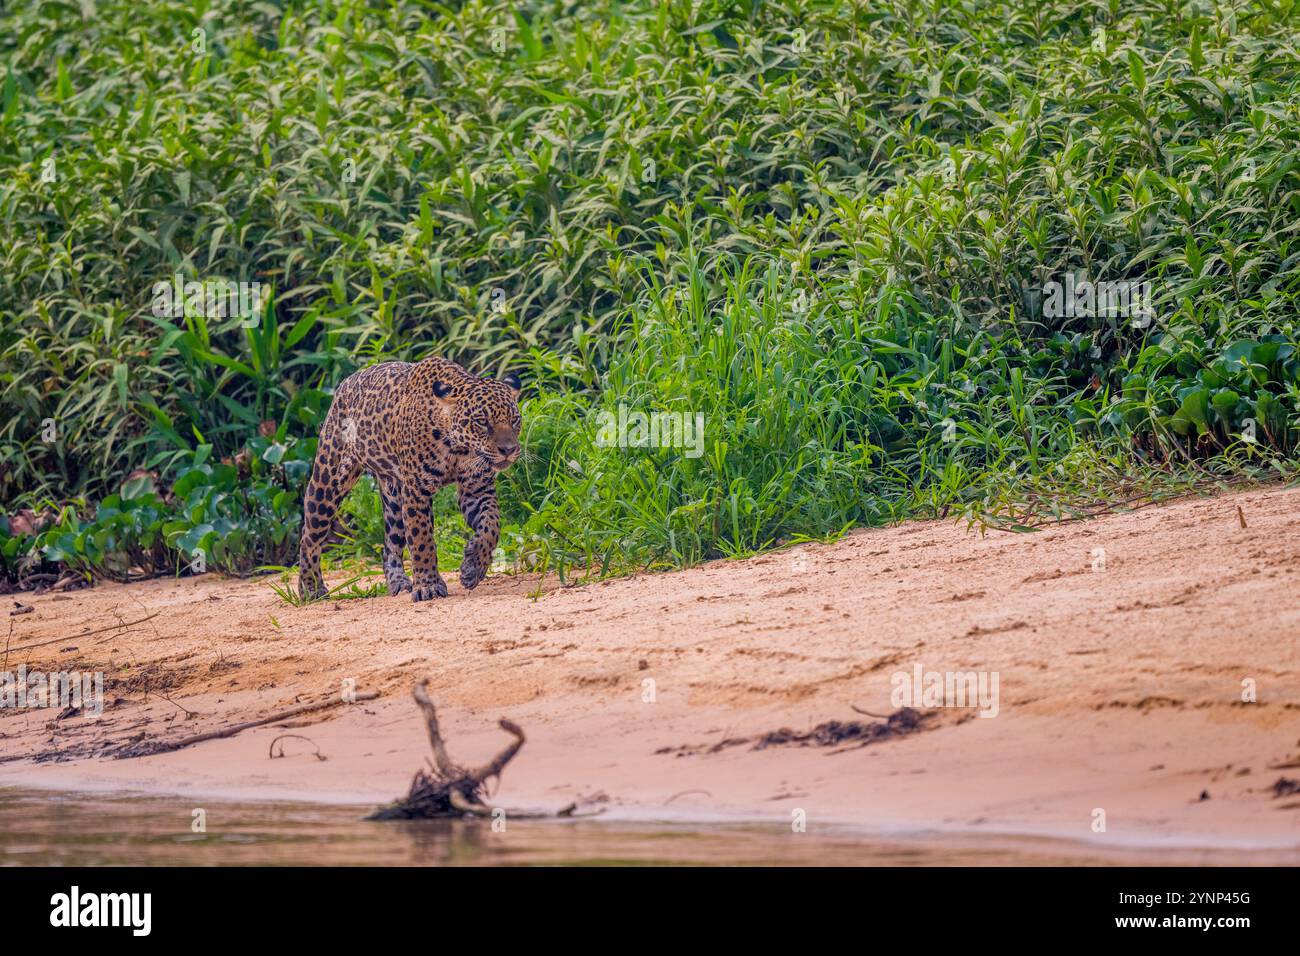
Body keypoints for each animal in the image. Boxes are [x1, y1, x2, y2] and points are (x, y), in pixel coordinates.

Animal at [297, 356, 522, 603]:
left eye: (515, 420)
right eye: (481, 421)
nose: (508, 450)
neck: (459, 449)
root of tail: (345, 383)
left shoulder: (477, 488)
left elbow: (492, 526)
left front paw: (473, 567)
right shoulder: (416, 490)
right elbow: (422, 539)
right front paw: (428, 586)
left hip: (394, 497)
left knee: (389, 545)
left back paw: (399, 582)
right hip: (327, 480)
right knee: (309, 536)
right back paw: (310, 589)